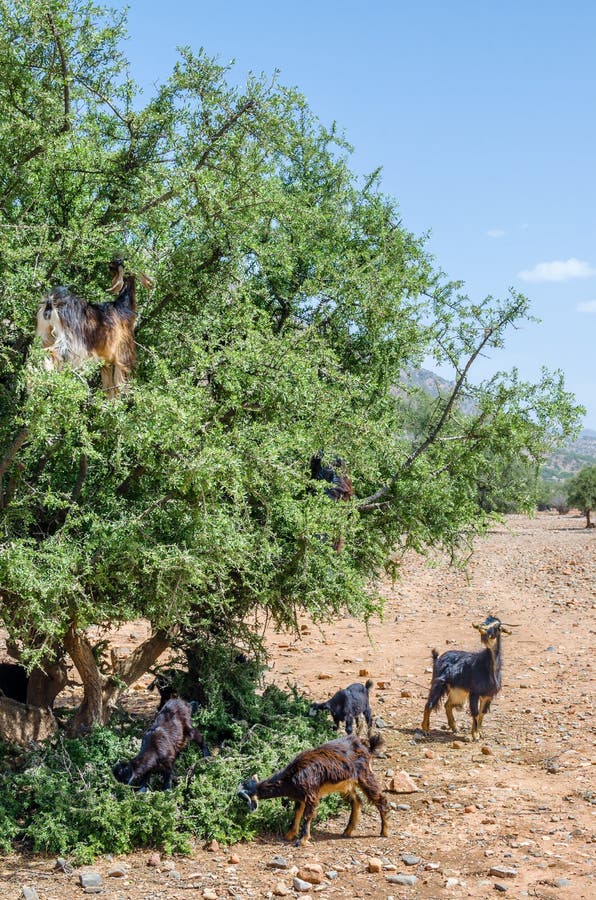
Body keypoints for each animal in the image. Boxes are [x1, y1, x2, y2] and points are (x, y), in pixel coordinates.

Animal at [36, 259, 151, 396]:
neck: (123, 310)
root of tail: (50, 305)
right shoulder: (122, 356)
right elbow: (119, 386)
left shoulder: (105, 362)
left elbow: (108, 388)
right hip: (71, 341)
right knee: (52, 351)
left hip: (47, 334)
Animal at [238, 733, 389, 846]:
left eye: (246, 799)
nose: (245, 814)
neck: (291, 777)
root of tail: (367, 746)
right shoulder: (300, 798)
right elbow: (297, 813)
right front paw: (289, 835)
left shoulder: (311, 794)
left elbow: (307, 815)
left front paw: (302, 840)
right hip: (345, 784)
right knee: (356, 801)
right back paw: (347, 831)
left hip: (364, 776)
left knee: (380, 799)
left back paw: (384, 831)